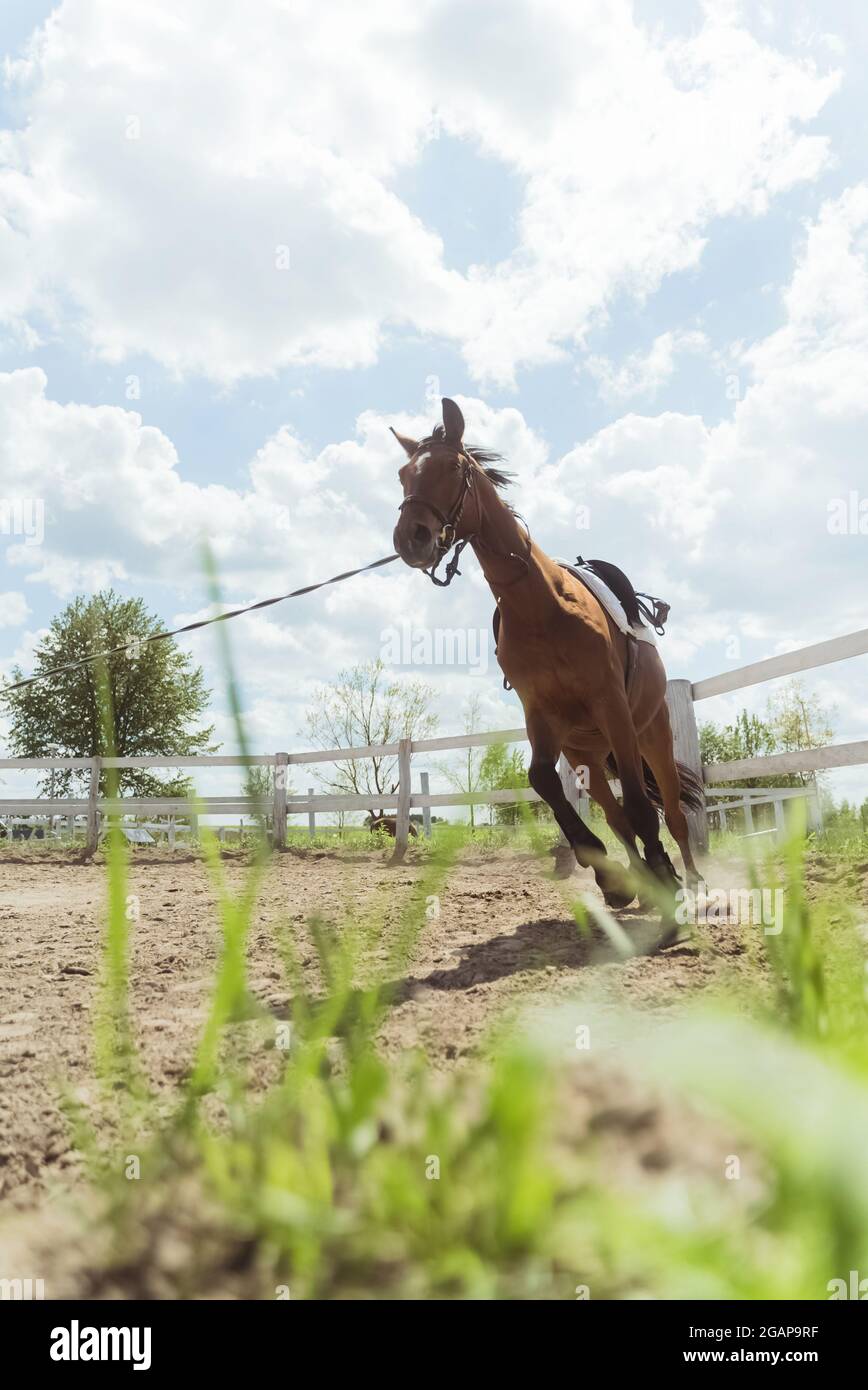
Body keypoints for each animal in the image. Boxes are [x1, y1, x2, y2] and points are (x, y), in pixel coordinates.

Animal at [390, 397, 704, 929]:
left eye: (452, 467)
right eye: (402, 475)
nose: (410, 537)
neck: (543, 607)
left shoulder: (611, 706)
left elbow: (643, 806)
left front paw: (666, 879)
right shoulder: (541, 716)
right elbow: (543, 781)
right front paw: (611, 878)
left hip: (651, 734)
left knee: (671, 811)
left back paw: (692, 879)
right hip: (586, 756)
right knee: (617, 817)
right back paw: (637, 883)